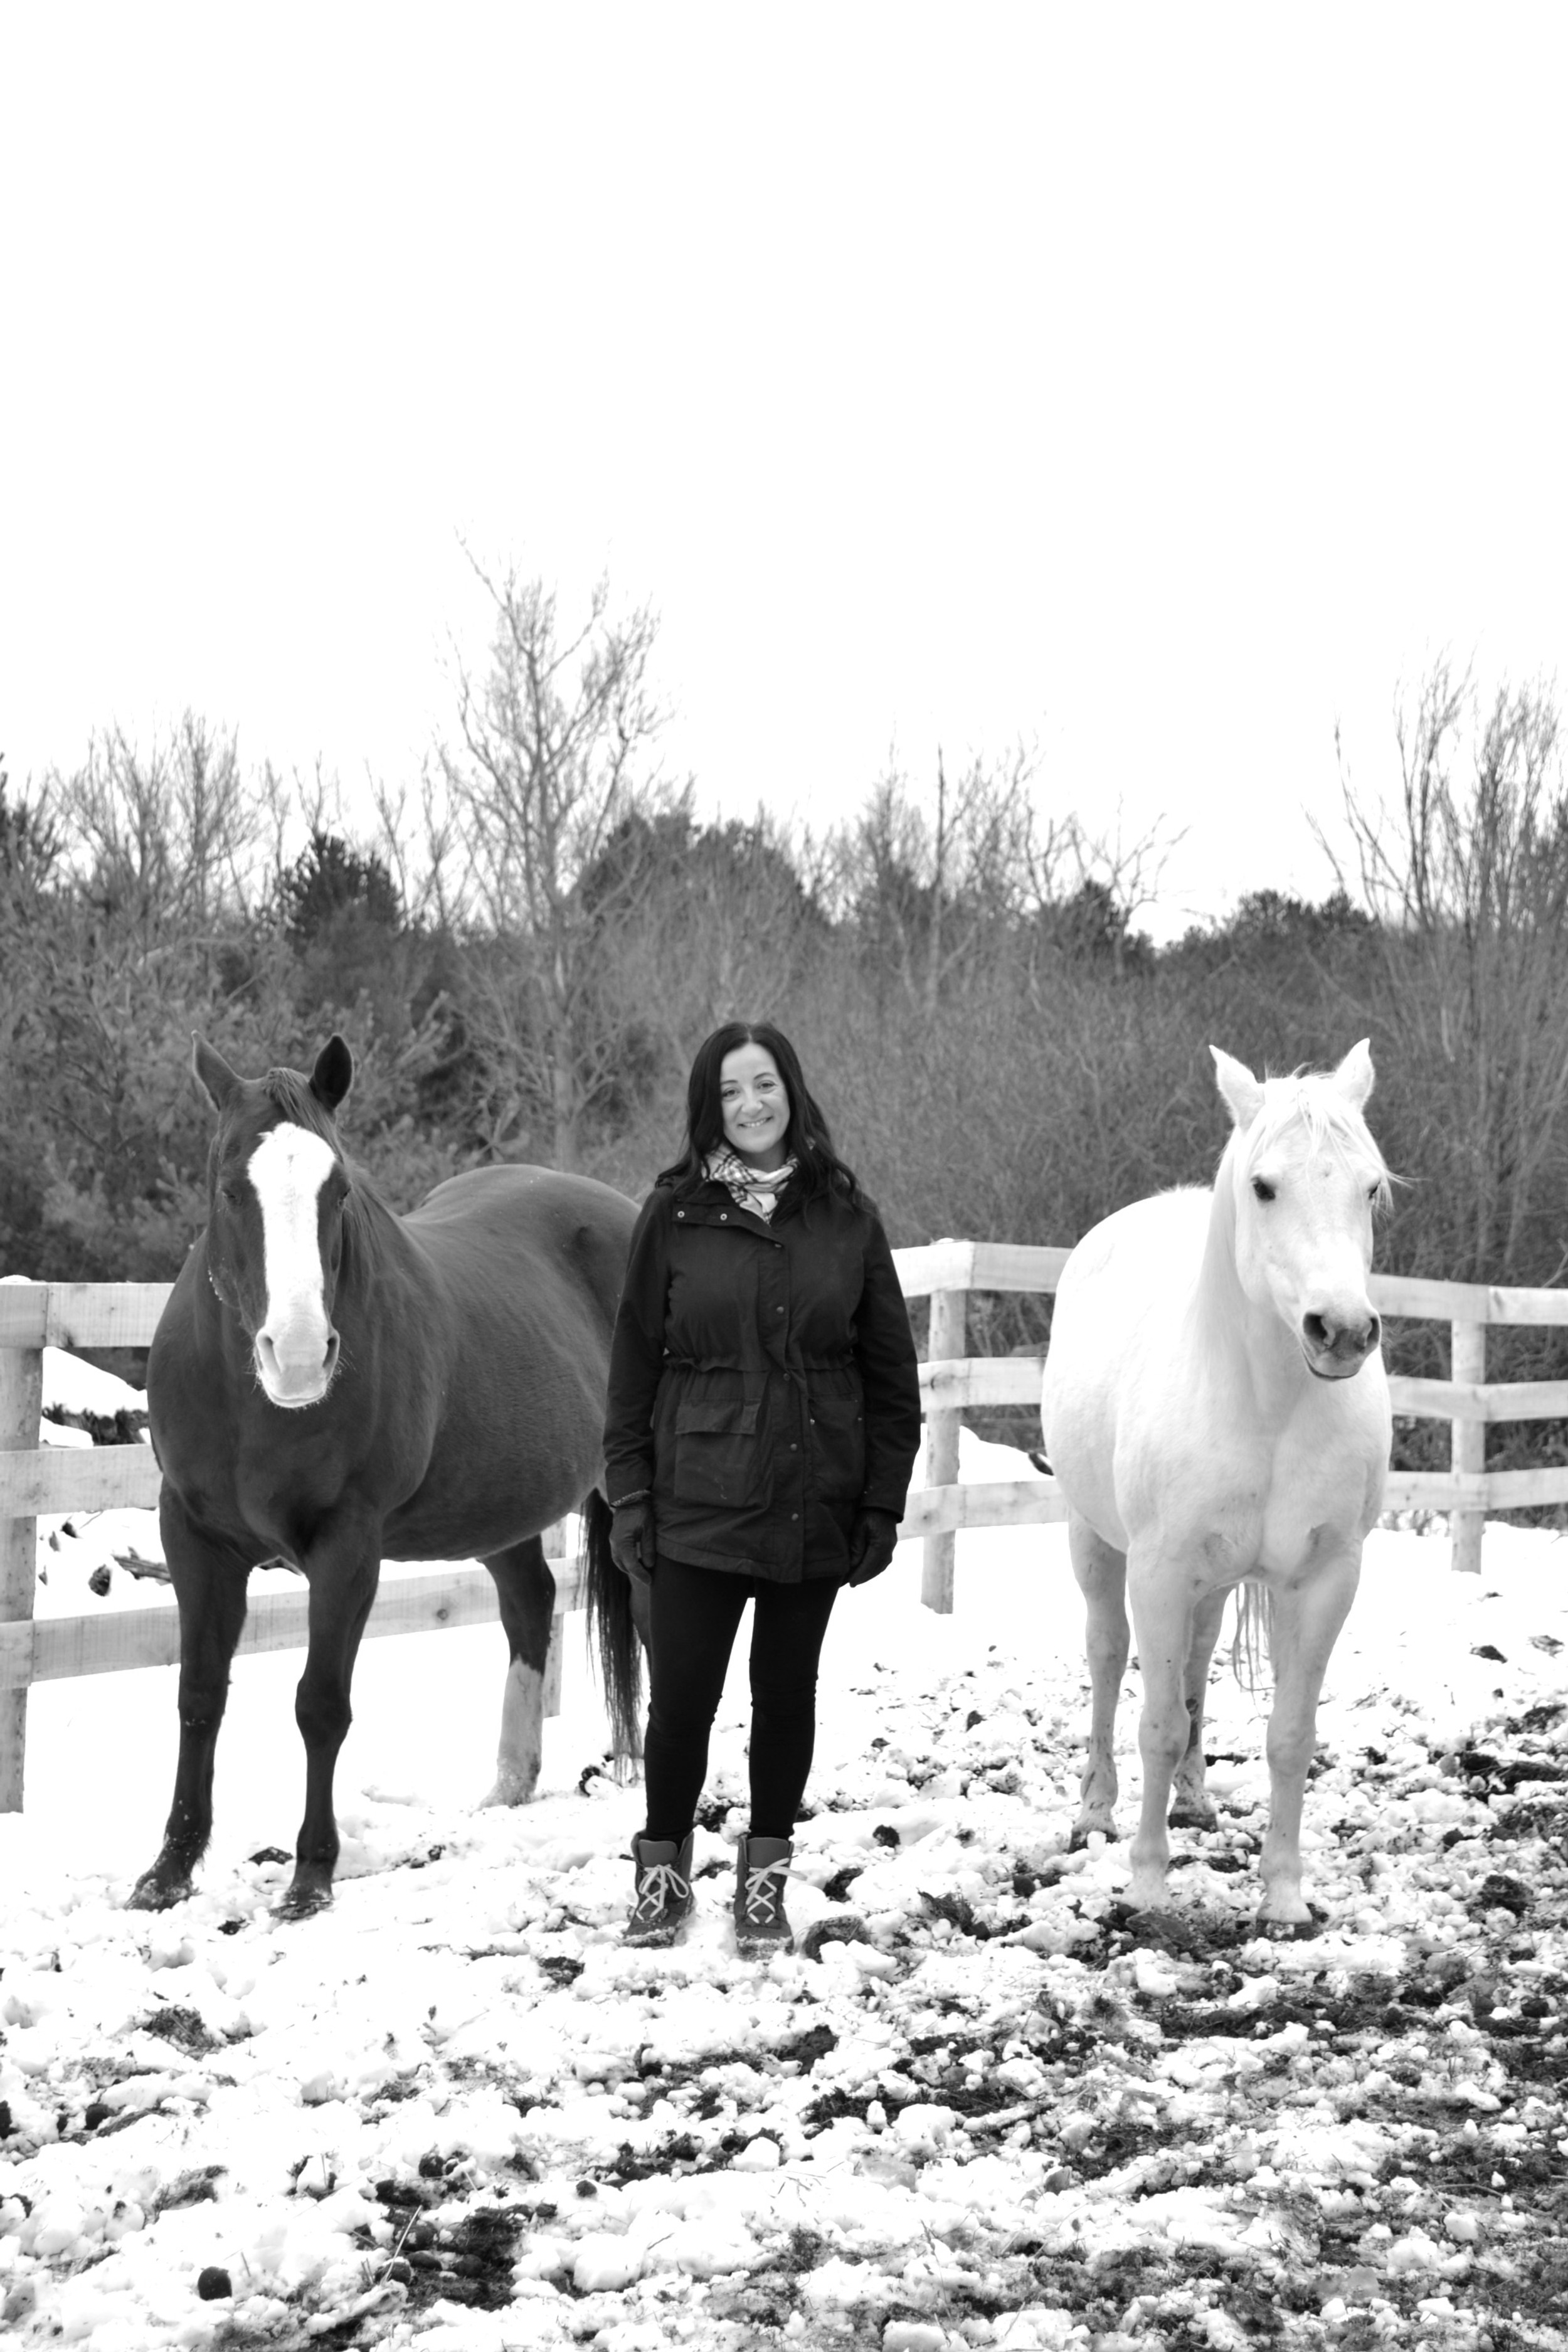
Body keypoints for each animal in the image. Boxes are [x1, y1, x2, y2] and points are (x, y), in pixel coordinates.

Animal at [133, 1034, 645, 1919]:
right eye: (231, 1188)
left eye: (338, 1189)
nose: (300, 1357)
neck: (251, 1409)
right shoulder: (193, 1537)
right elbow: (199, 1696)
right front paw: (169, 1870)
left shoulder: (348, 1546)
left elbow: (319, 1705)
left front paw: (310, 1876)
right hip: (499, 1507)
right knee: (531, 1604)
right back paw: (508, 1788)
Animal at [1041, 1040, 1393, 1930]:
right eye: (1263, 1187)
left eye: (1370, 1187)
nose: (1341, 1332)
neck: (1267, 1406)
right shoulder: (1159, 1572)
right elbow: (1158, 1723)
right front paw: (1147, 1886)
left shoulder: (1327, 1577)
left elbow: (1290, 1737)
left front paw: (1285, 1899)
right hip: (1094, 1543)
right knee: (1108, 1658)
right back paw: (1095, 1812)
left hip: (1213, 1581)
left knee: (1196, 1664)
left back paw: (1195, 1800)